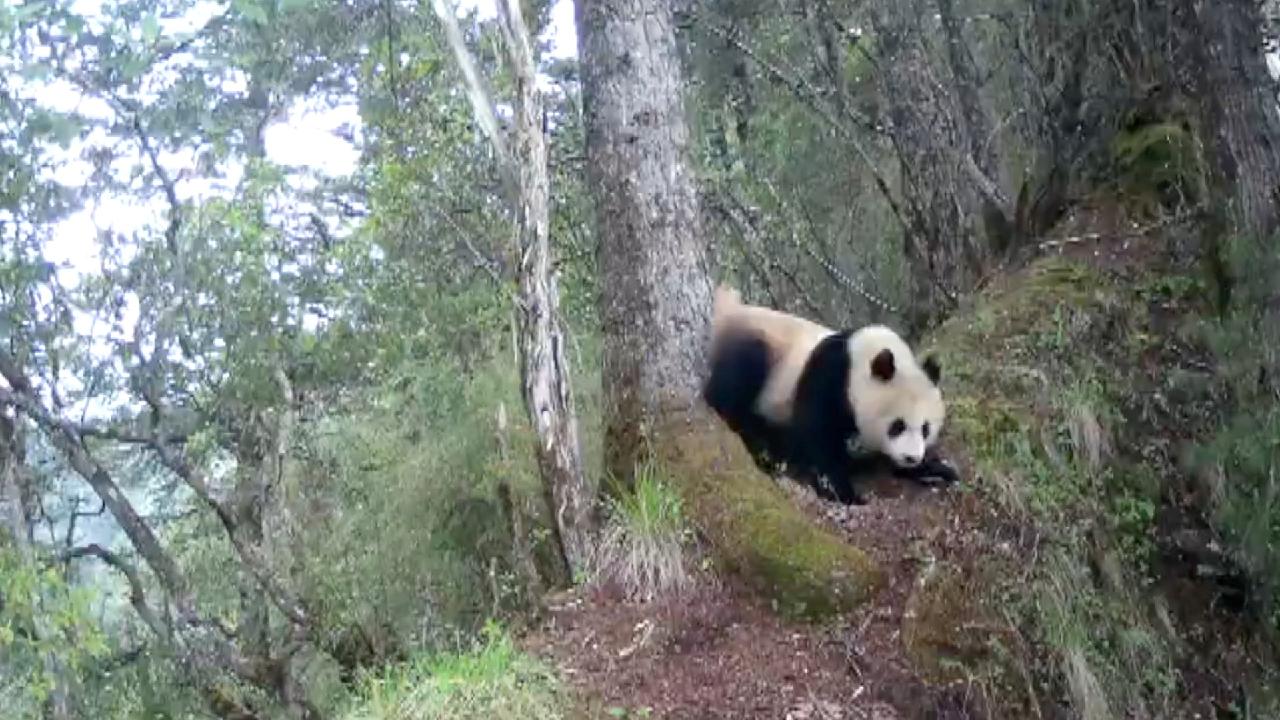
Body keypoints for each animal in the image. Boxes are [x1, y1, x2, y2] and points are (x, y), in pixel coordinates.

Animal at [702, 285, 959, 505]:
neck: (858, 358)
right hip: (759, 353)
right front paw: (843, 492)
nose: (911, 458)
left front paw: (936, 469)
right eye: (897, 425)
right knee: (731, 391)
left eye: (925, 429)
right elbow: (817, 434)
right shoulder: (828, 376)